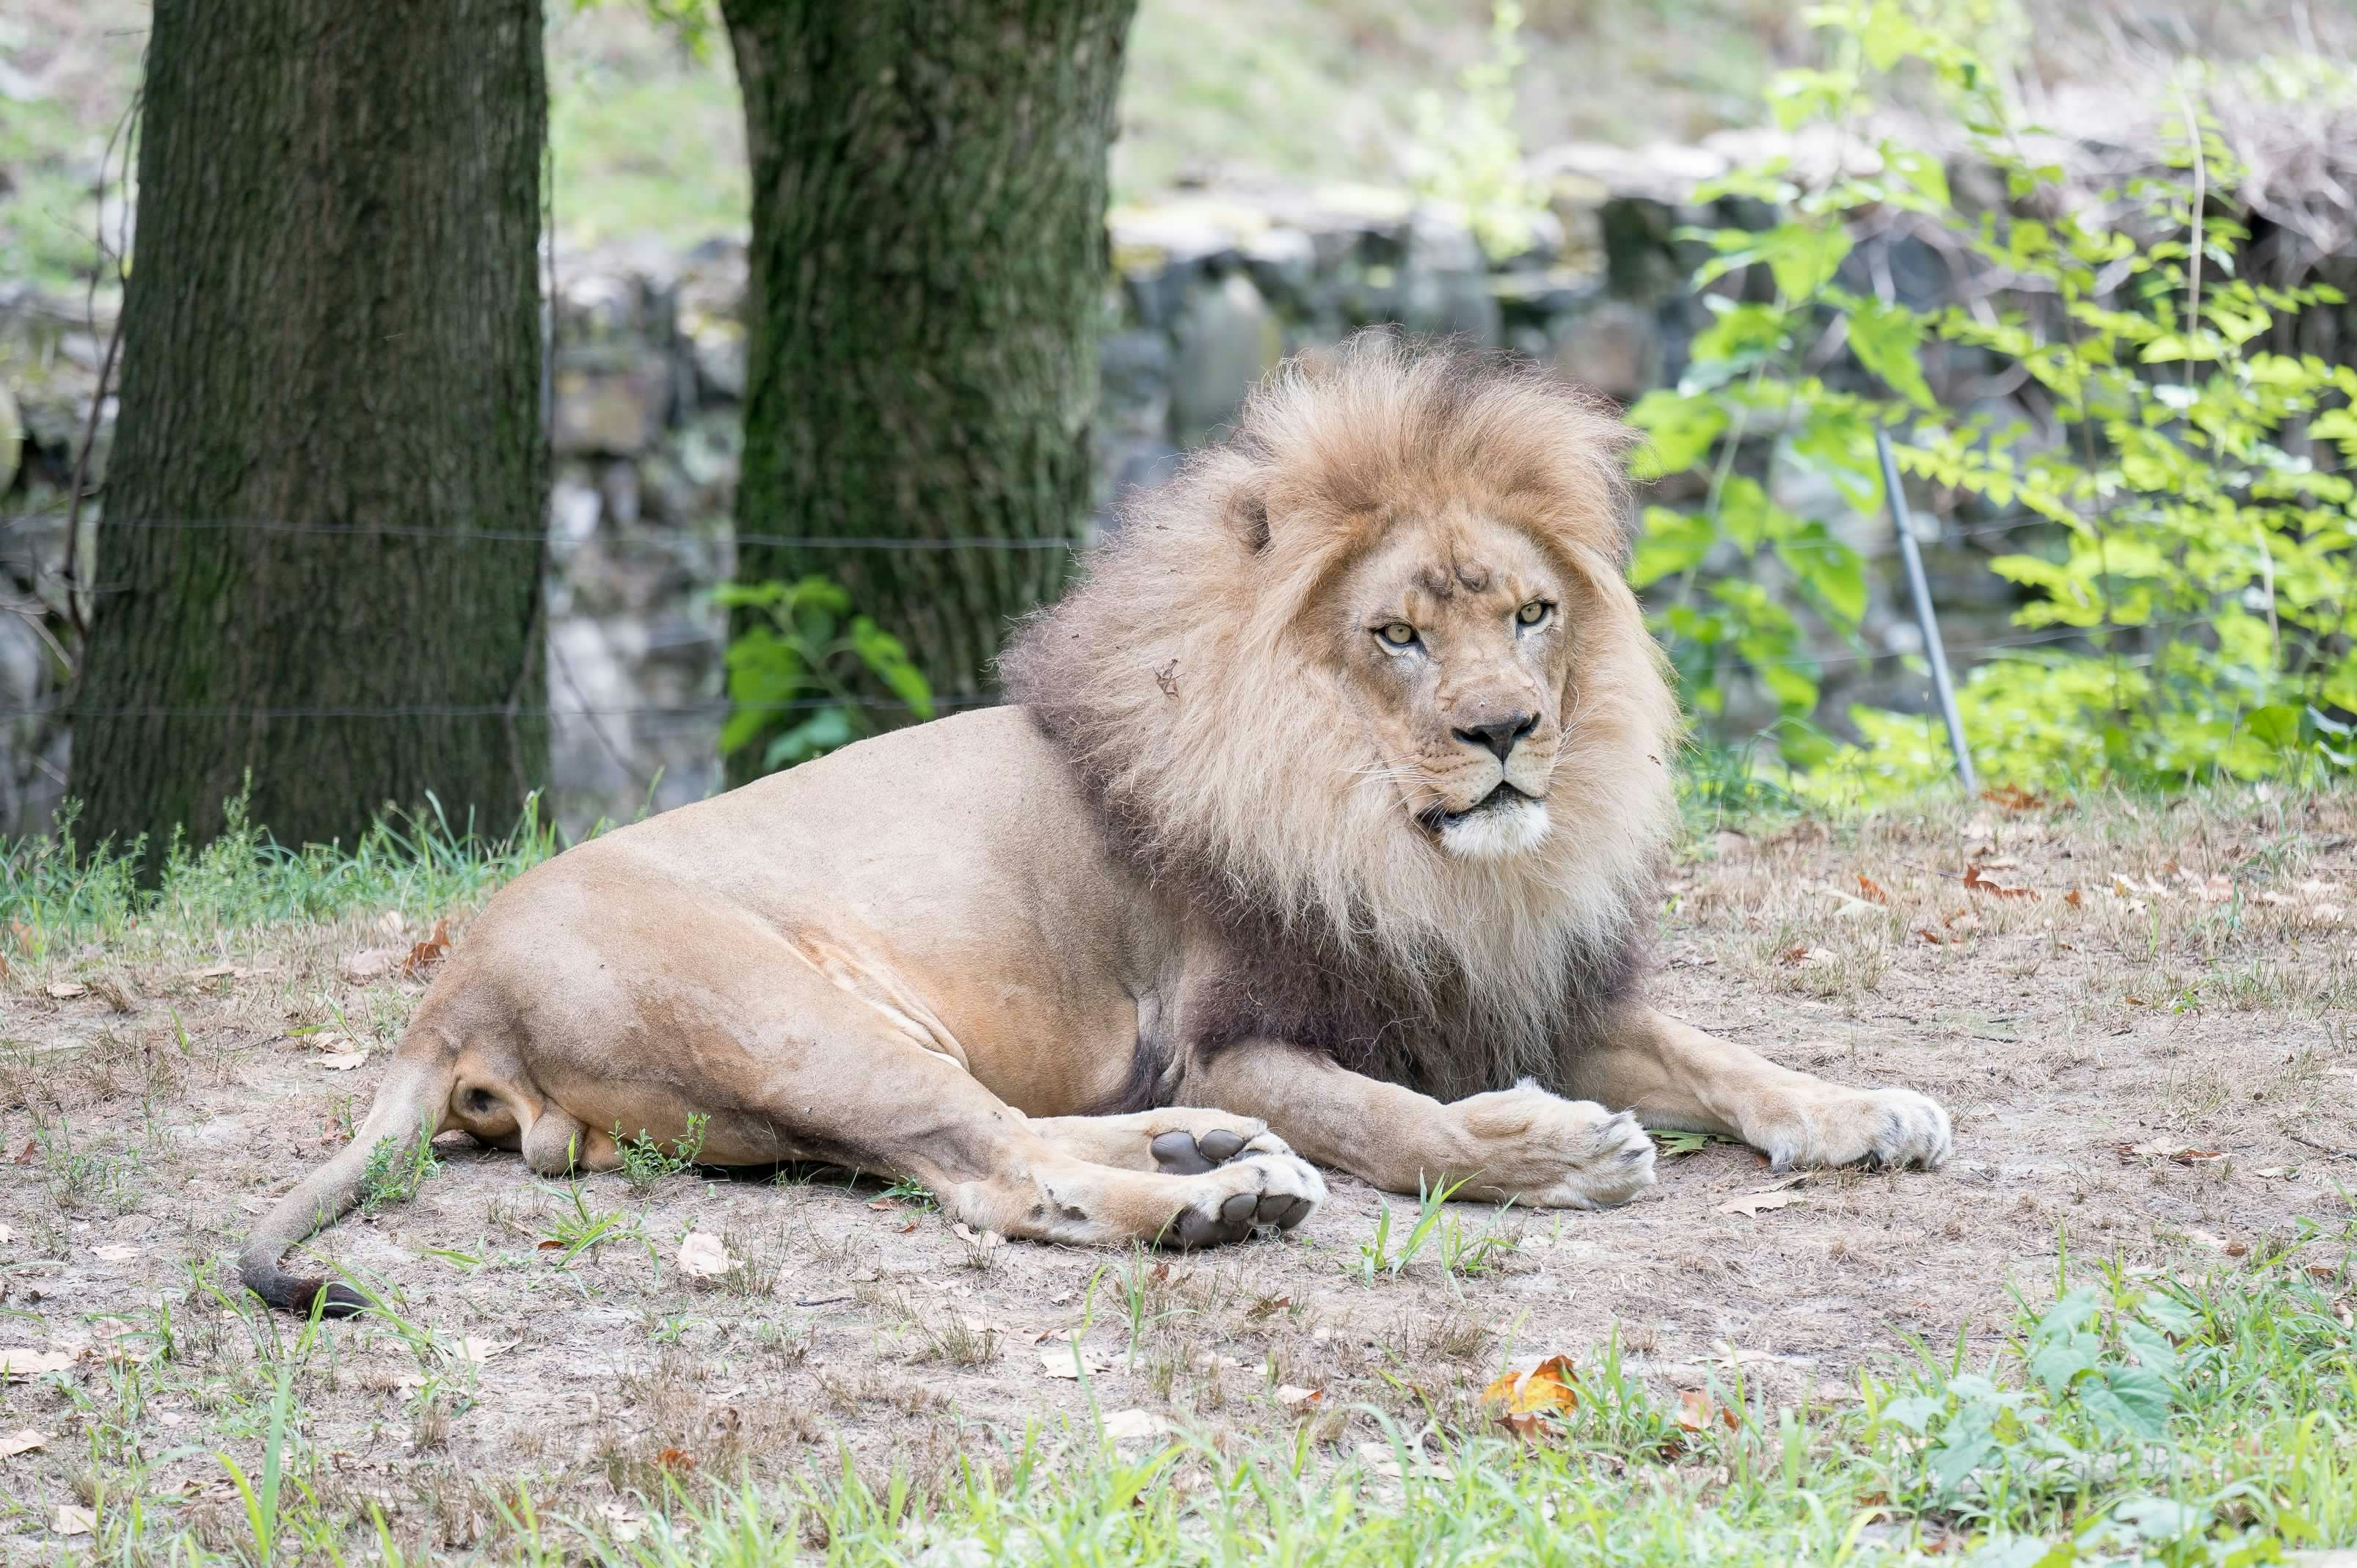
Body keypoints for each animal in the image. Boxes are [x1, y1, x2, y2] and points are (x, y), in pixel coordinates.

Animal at [242, 334, 1949, 1316]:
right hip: (789, 1016)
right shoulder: (1237, 1027)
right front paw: (1551, 1149)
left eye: (1531, 616)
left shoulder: (1494, 982)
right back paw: (1214, 1198)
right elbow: (1400, 1121)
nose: (1507, 734)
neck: (1404, 848)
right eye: (1398, 636)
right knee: (993, 1174)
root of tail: (452, 987)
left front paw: (1864, 1108)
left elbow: (1716, 1053)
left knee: (985, 1136)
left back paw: (1212, 1160)